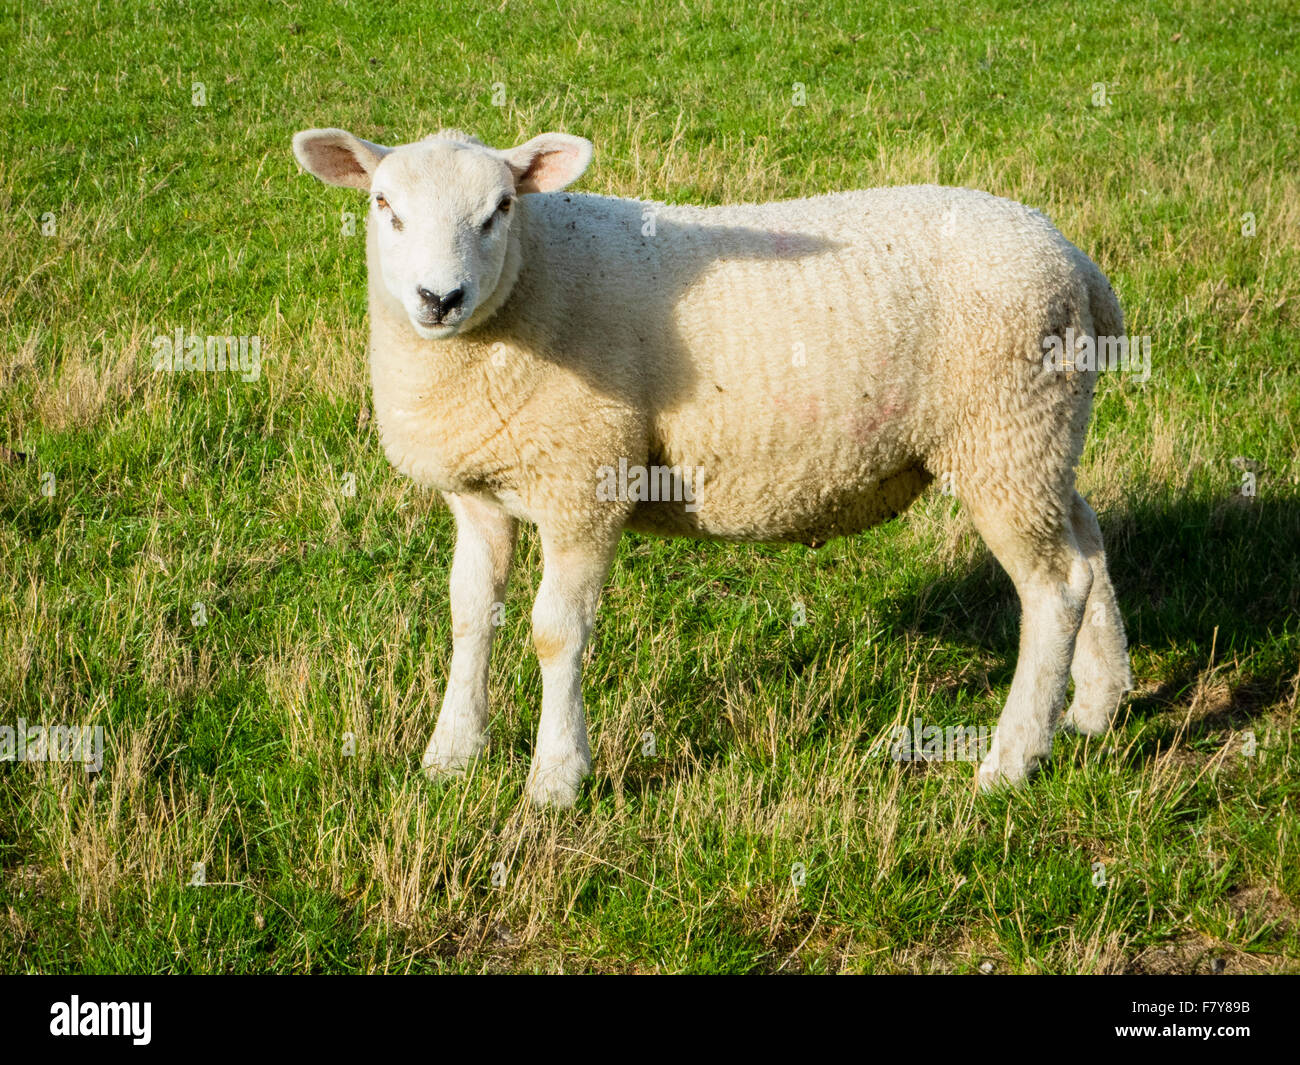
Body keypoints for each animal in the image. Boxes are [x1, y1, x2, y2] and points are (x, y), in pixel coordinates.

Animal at [291, 125, 1133, 807]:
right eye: (383, 204)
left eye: (500, 207)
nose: (439, 298)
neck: (531, 281)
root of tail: (1077, 262)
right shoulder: (481, 492)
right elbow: (469, 615)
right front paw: (450, 755)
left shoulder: (584, 480)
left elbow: (557, 632)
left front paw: (555, 780)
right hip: (1041, 433)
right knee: (1087, 542)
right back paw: (1097, 704)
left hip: (1004, 431)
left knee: (1053, 588)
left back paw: (1011, 760)